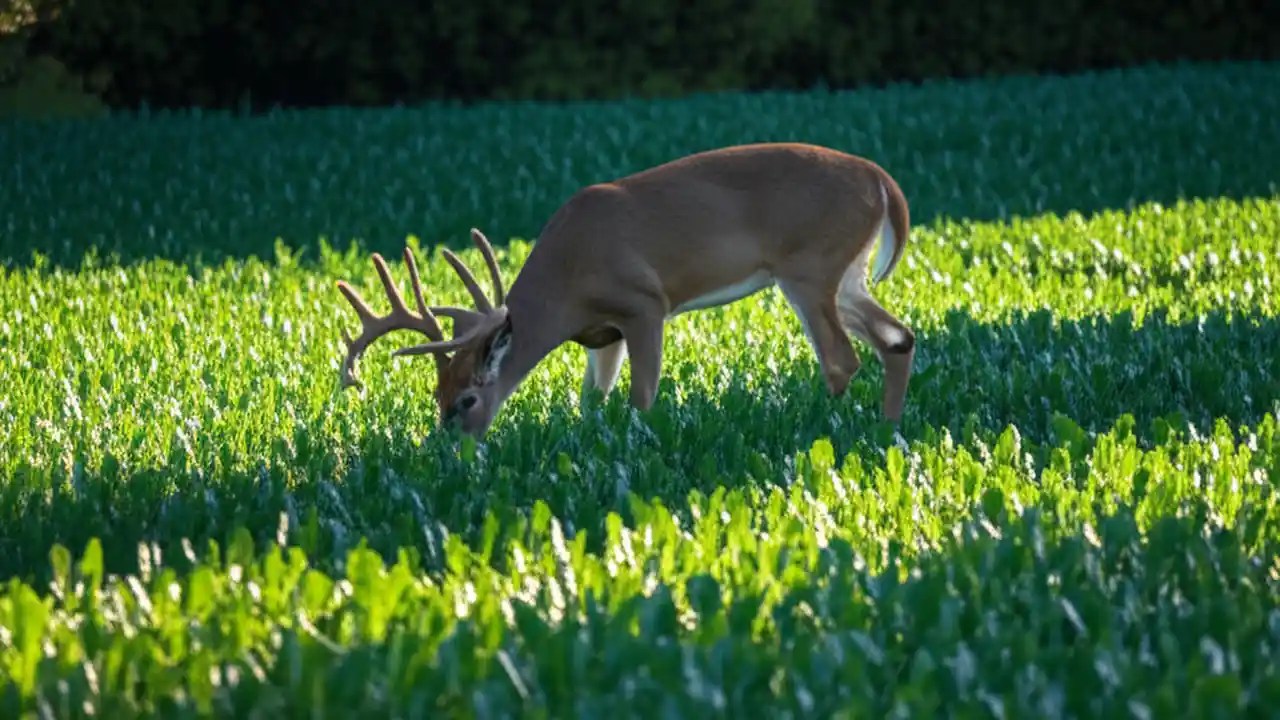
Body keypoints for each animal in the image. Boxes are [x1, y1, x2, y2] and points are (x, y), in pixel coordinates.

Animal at [335, 142, 914, 438]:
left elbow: (641, 396)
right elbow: (593, 398)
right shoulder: (602, 333)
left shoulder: (644, 303)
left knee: (841, 357)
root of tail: (883, 181)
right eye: (437, 394)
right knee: (898, 338)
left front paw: (637, 445)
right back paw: (887, 427)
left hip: (809, 266)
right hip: (847, 274)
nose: (450, 449)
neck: (567, 281)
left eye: (468, 398)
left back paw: (823, 427)